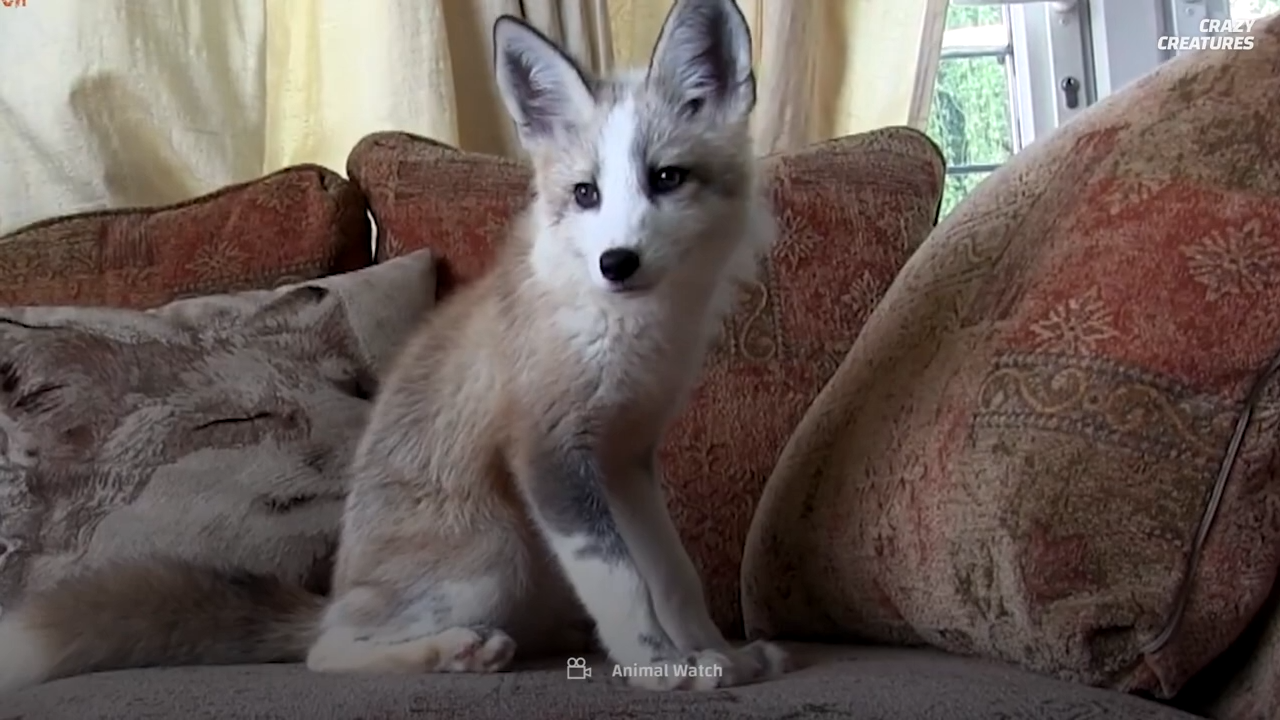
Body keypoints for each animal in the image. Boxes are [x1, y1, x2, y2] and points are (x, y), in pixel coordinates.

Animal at [0, 0, 788, 695]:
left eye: (666, 178)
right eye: (586, 193)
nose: (617, 263)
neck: (627, 337)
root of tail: (335, 588)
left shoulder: (626, 461)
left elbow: (673, 576)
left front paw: (718, 654)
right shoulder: (550, 455)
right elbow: (623, 584)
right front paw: (661, 667)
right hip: (495, 550)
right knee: (325, 653)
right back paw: (453, 651)